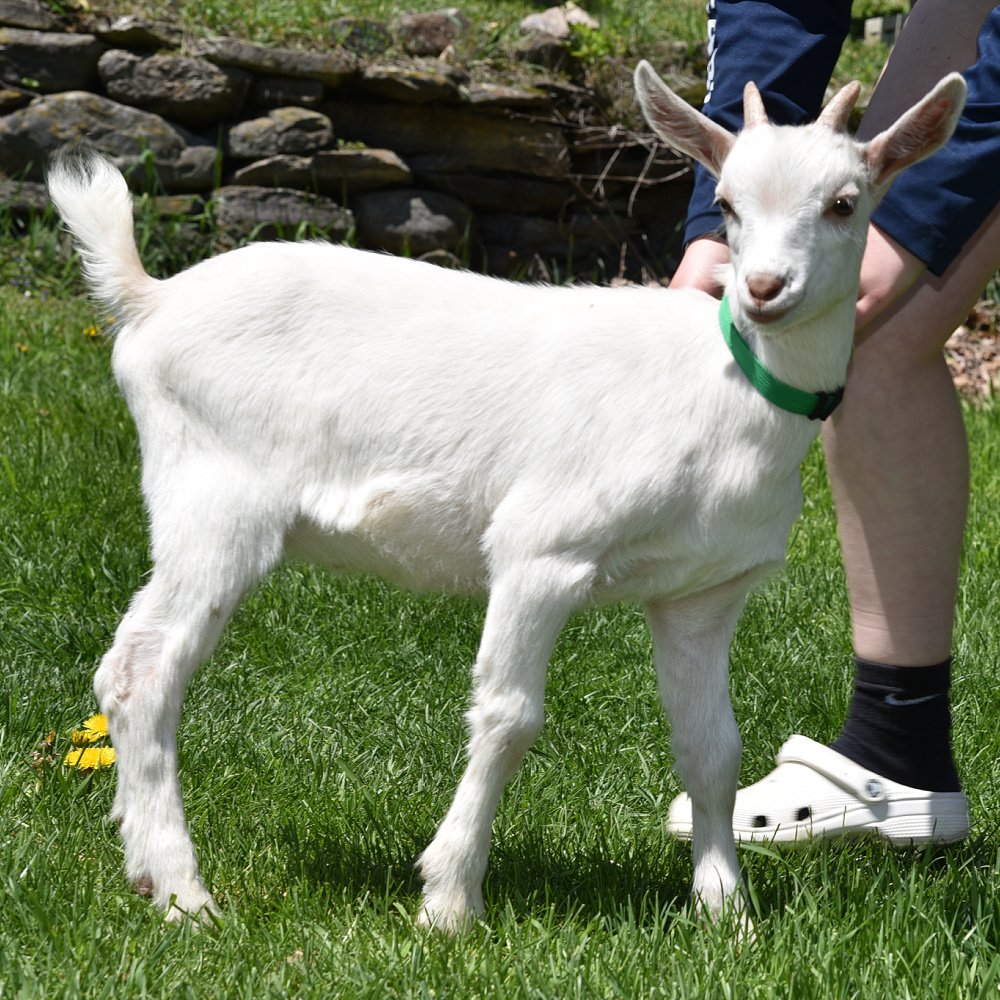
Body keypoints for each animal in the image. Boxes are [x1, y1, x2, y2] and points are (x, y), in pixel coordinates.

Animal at [47, 62, 965, 931]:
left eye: (845, 203)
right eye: (729, 206)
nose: (764, 289)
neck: (722, 389)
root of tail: (151, 298)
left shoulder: (702, 591)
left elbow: (712, 749)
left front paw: (726, 910)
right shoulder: (540, 549)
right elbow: (509, 717)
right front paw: (449, 900)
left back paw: (145, 868)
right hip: (214, 491)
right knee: (143, 670)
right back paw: (183, 893)